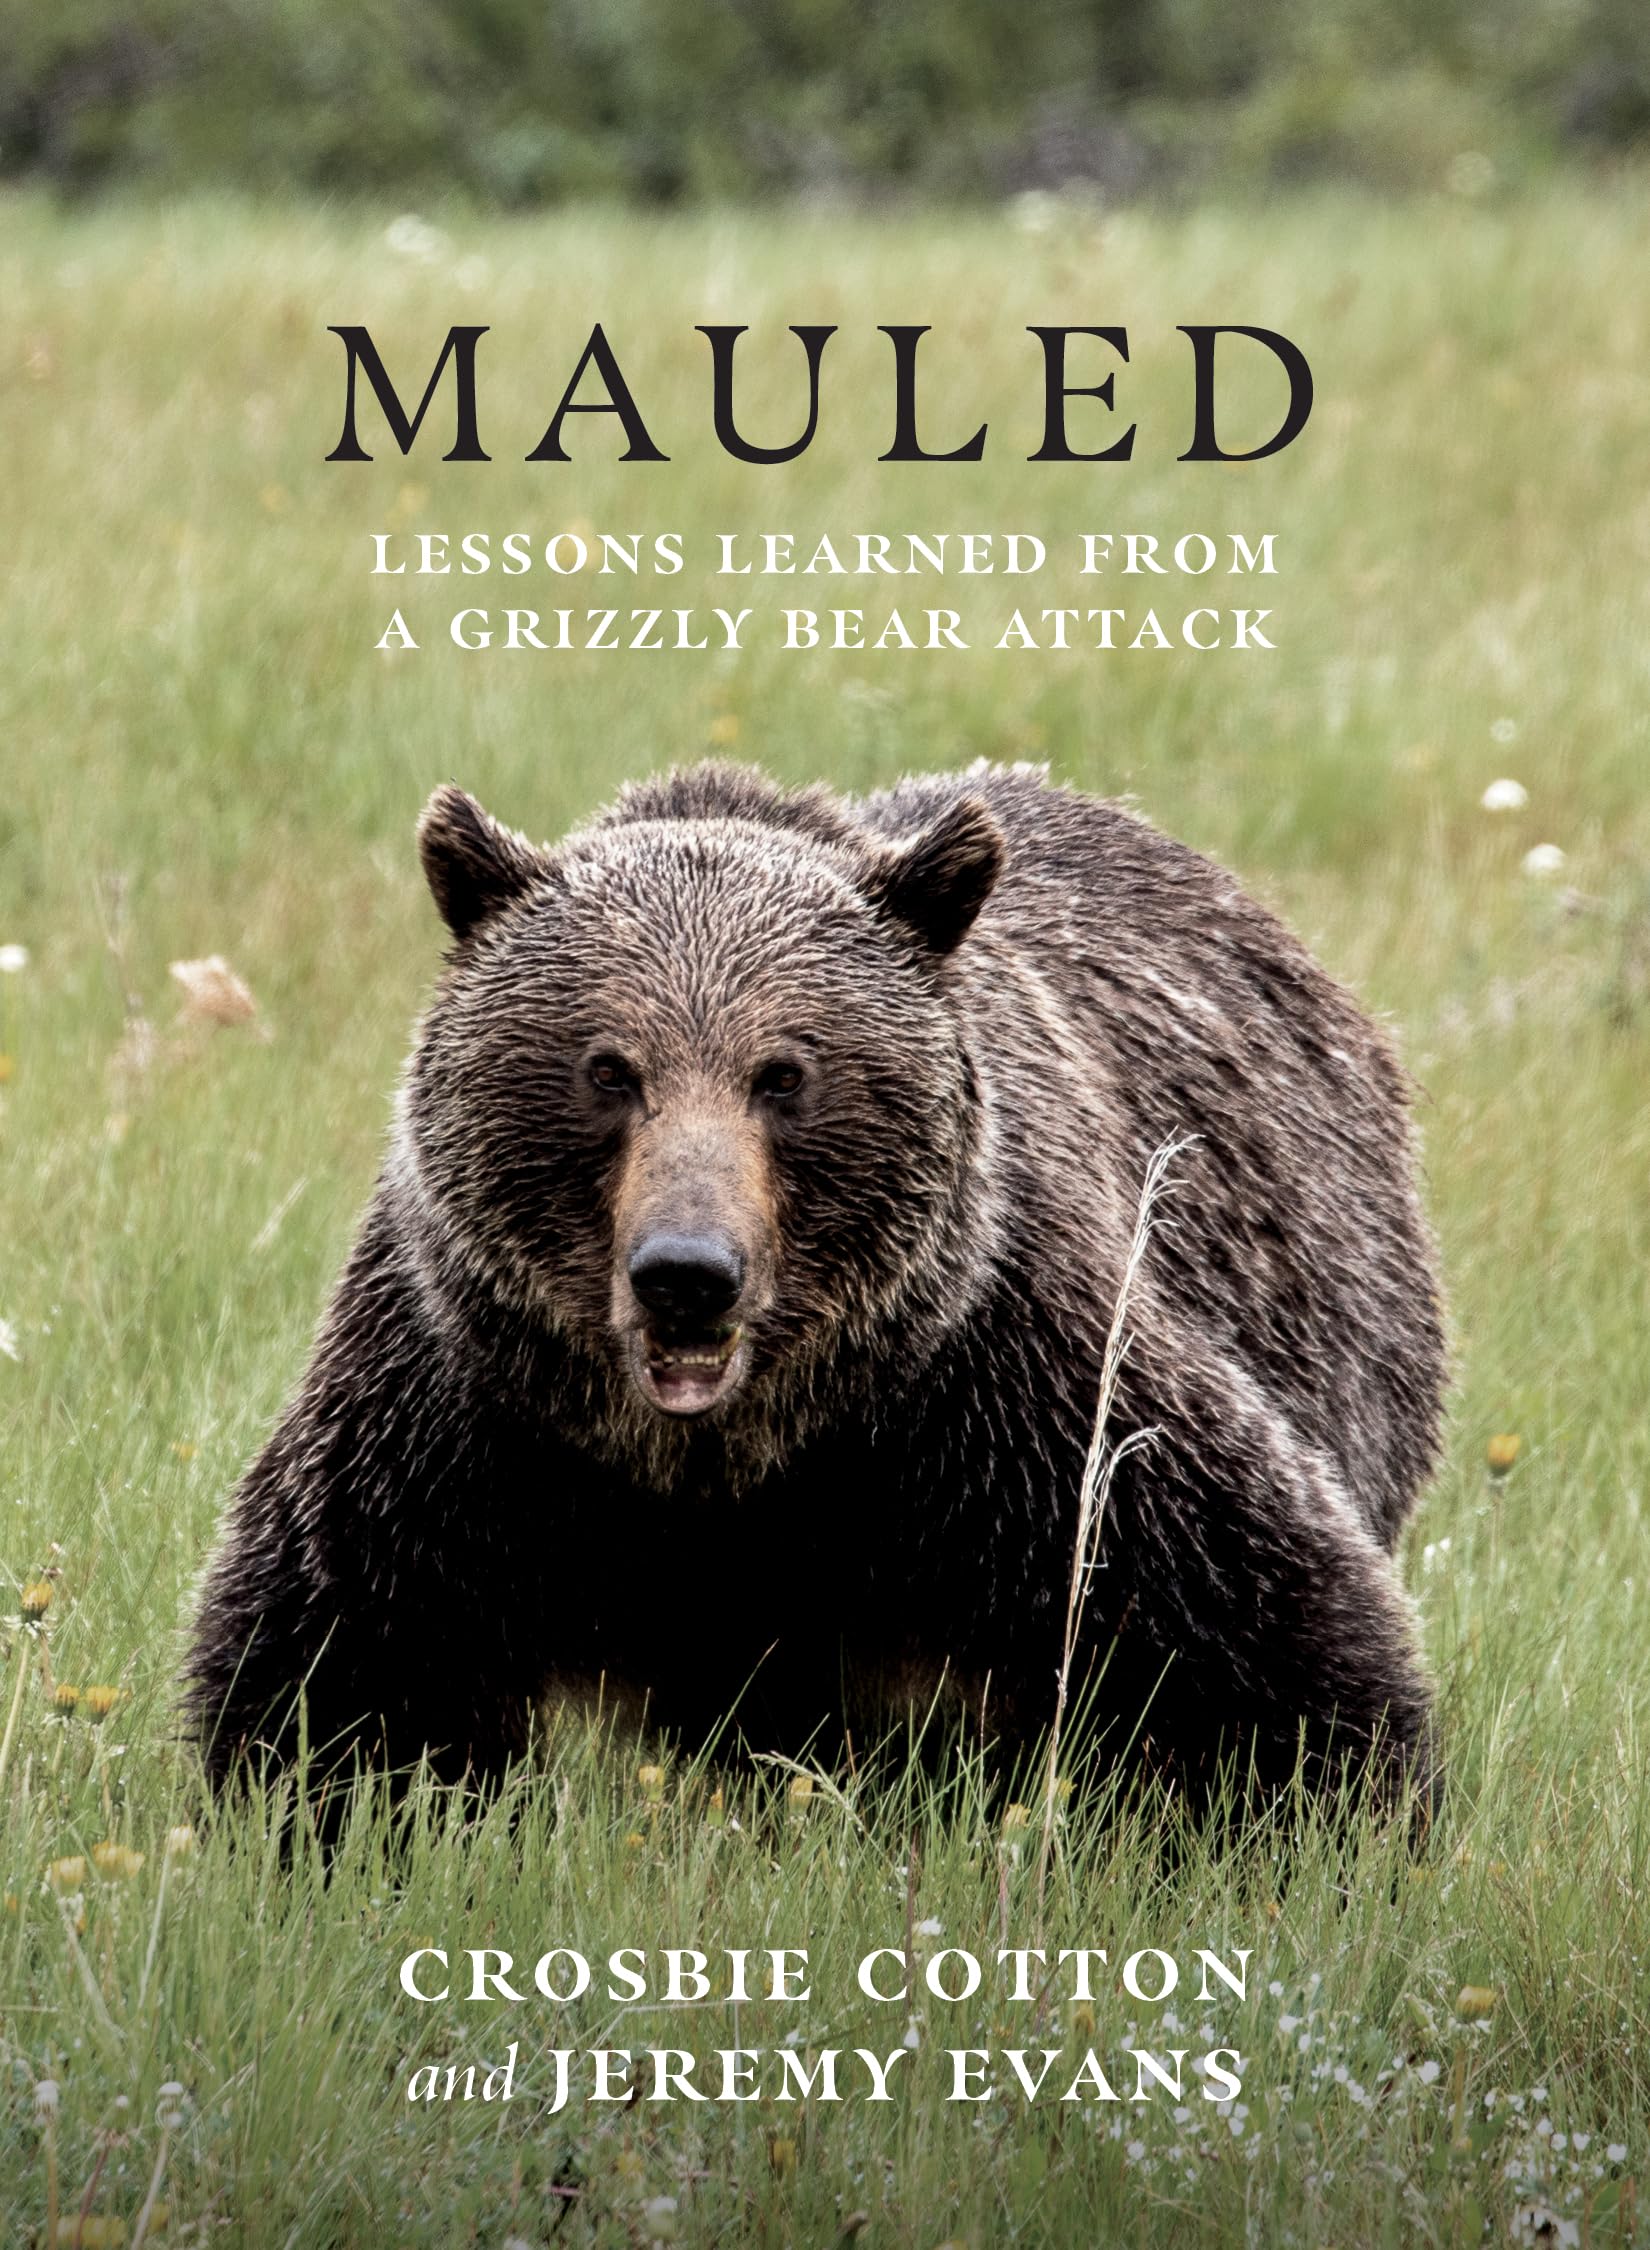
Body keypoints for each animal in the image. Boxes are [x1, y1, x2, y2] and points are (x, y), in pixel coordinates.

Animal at [183, 760, 1446, 1813]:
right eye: (608, 1069)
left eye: (784, 1073)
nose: (688, 1273)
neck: (729, 1463)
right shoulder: (467, 1427)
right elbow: (341, 1670)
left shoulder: (1008, 1395)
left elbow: (1258, 1632)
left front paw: (1321, 1816)